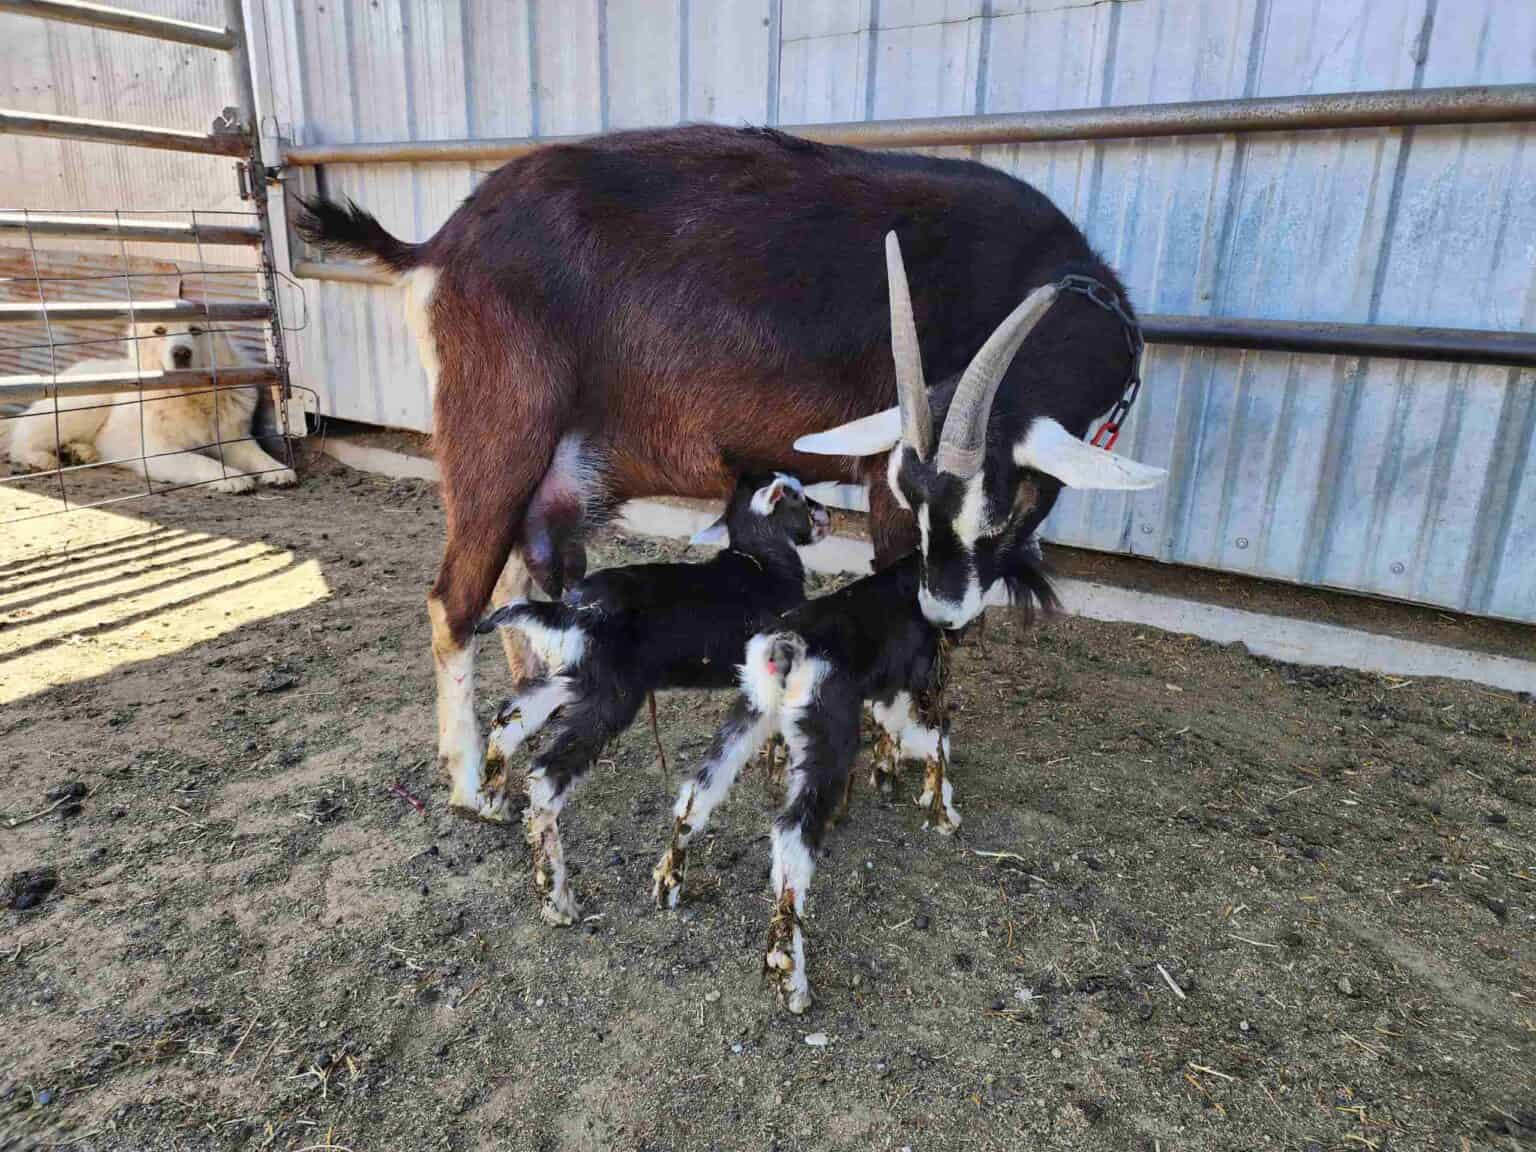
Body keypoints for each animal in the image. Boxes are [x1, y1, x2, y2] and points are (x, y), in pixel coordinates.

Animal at [294, 124, 1163, 825]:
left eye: (1004, 509)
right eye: (921, 497)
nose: (950, 608)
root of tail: (438, 245)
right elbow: (896, 605)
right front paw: (896, 759)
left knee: (513, 577)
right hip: (495, 429)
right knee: (453, 601)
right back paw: (472, 788)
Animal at [475, 473, 828, 923]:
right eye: (796, 497)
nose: (827, 515)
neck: (763, 564)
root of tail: (575, 610)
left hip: (578, 676)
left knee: (511, 714)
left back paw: (492, 803)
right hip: (613, 697)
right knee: (546, 776)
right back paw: (558, 900)